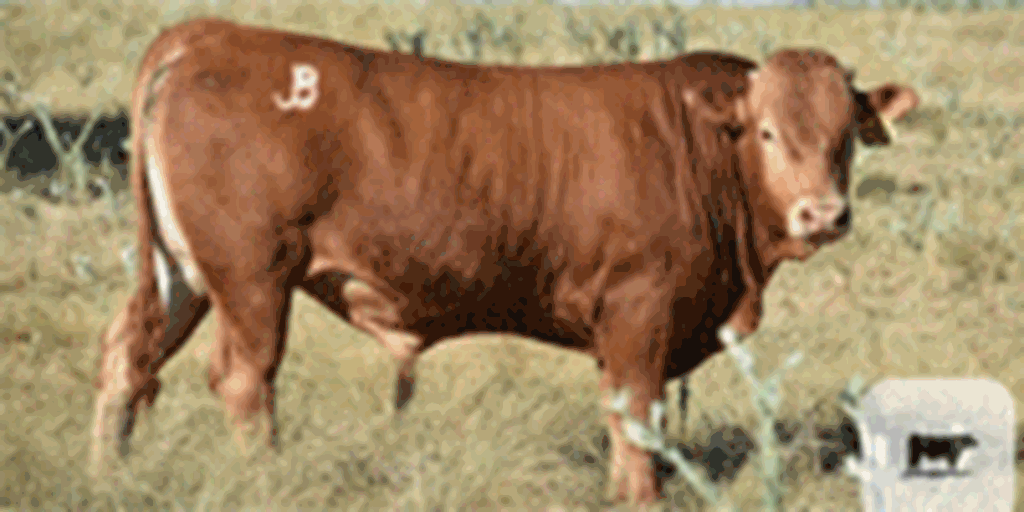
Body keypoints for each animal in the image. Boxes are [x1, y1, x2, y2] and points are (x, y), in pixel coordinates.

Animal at [91, 17, 918, 505]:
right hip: (252, 275)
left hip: (182, 273)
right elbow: (638, 413)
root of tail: (209, 34)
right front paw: (641, 494)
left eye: (846, 136)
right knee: (245, 379)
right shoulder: (639, 307)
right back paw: (266, 481)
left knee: (126, 355)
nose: (823, 213)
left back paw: (112, 470)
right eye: (769, 132)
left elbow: (621, 413)